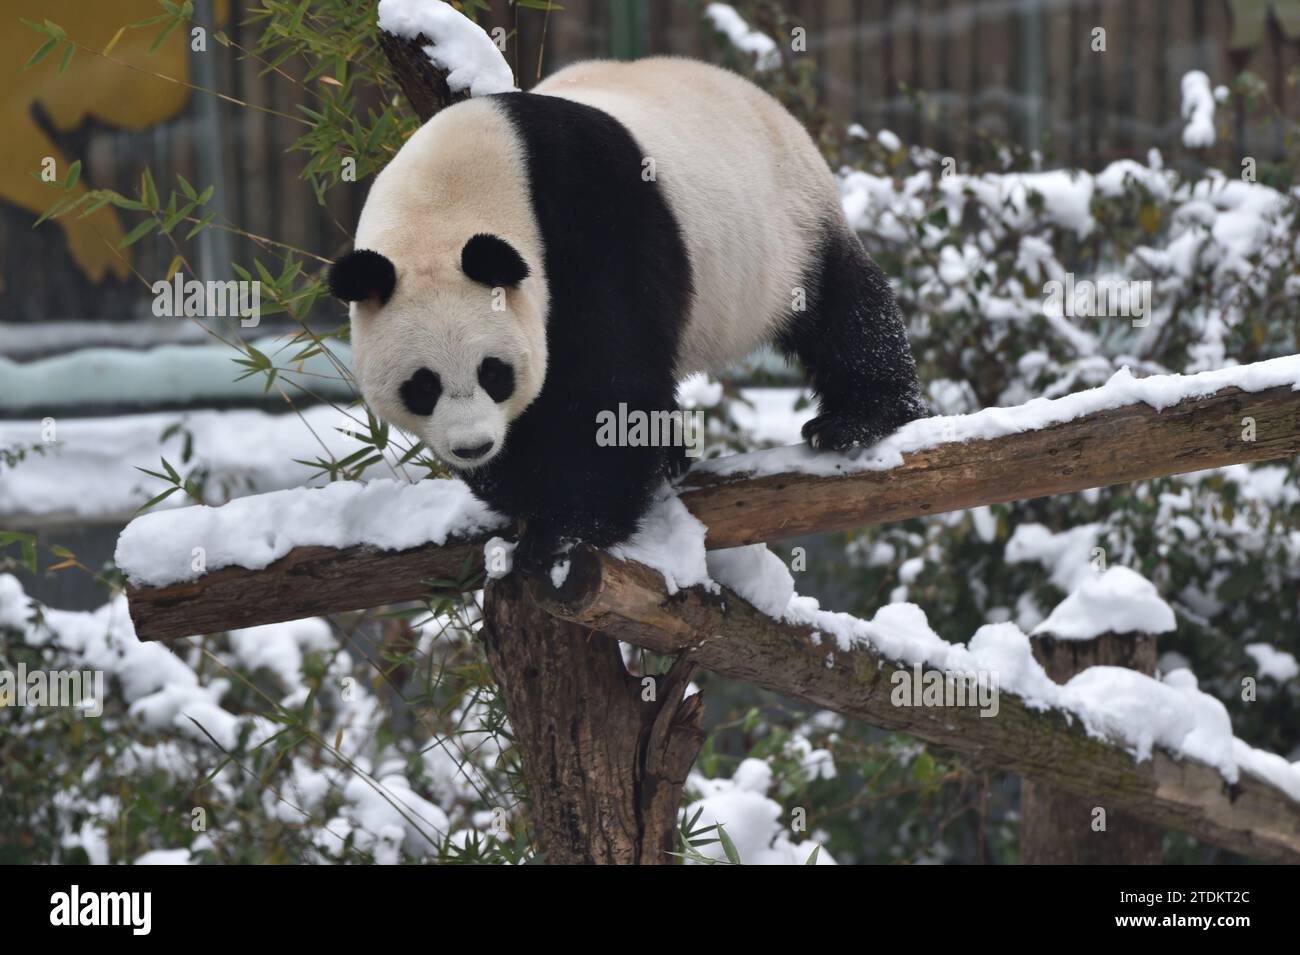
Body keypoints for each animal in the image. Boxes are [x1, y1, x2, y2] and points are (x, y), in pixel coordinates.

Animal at [328, 56, 925, 570]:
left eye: (493, 373)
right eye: (422, 385)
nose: (473, 446)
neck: (449, 198)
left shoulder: (587, 226)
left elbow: (608, 385)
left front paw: (567, 530)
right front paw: (523, 491)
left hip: (787, 231)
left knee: (845, 311)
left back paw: (856, 419)